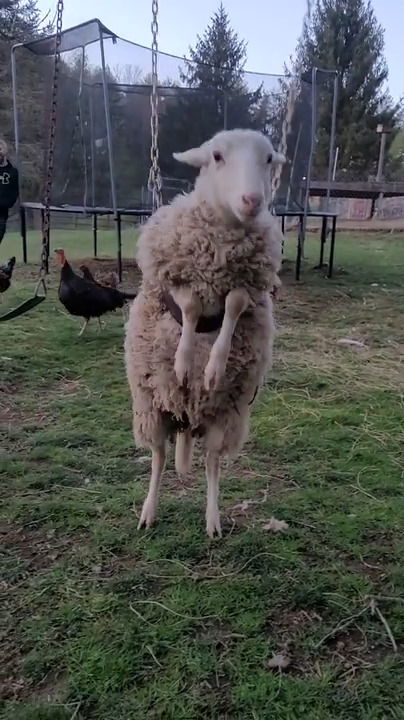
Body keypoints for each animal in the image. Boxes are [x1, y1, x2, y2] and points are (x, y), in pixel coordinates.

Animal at [124, 128, 285, 538]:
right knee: (159, 458)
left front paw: (213, 366)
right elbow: (191, 308)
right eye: (216, 156)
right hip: (152, 408)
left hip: (225, 416)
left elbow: (233, 306)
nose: (252, 200)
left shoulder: (245, 282)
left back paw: (212, 519)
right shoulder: (179, 276)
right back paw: (149, 510)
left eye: (268, 159)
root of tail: (187, 414)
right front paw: (184, 362)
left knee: (212, 463)